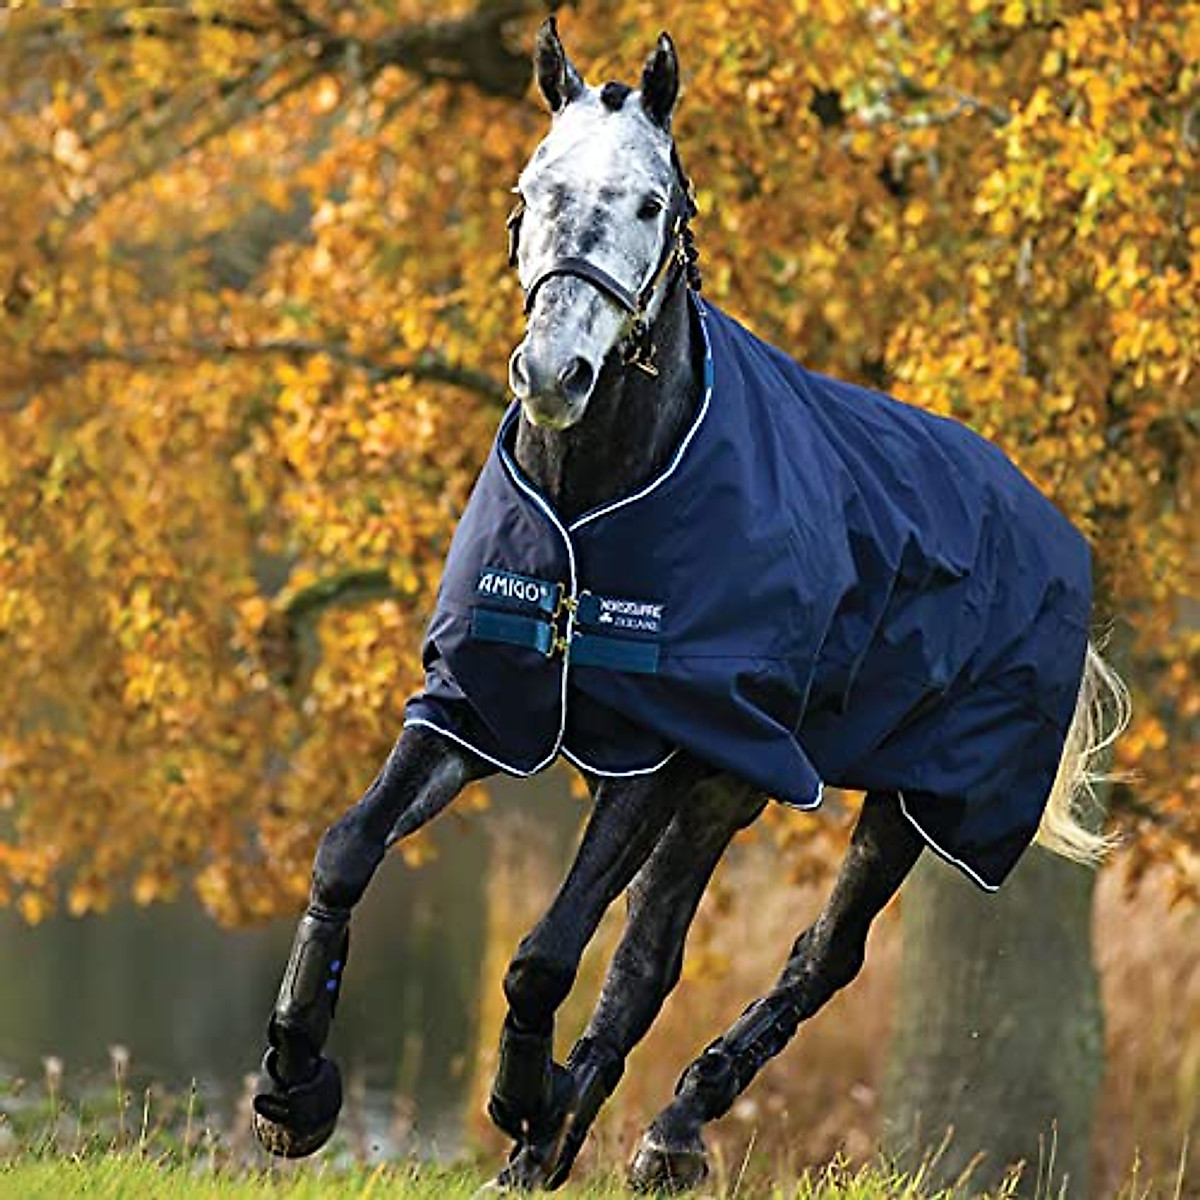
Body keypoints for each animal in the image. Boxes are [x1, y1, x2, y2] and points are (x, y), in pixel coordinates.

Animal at [250, 20, 1128, 1193]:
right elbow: (349, 850)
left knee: (818, 957)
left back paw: (659, 1126)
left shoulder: (660, 749)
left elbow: (543, 953)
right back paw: (575, 1142)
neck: (598, 500)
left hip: (915, 802)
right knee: (651, 961)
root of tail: (1044, 516)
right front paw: (294, 1089)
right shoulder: (482, 708)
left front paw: (523, 1099)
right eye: (532, 189)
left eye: (649, 203)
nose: (553, 373)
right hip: (727, 794)